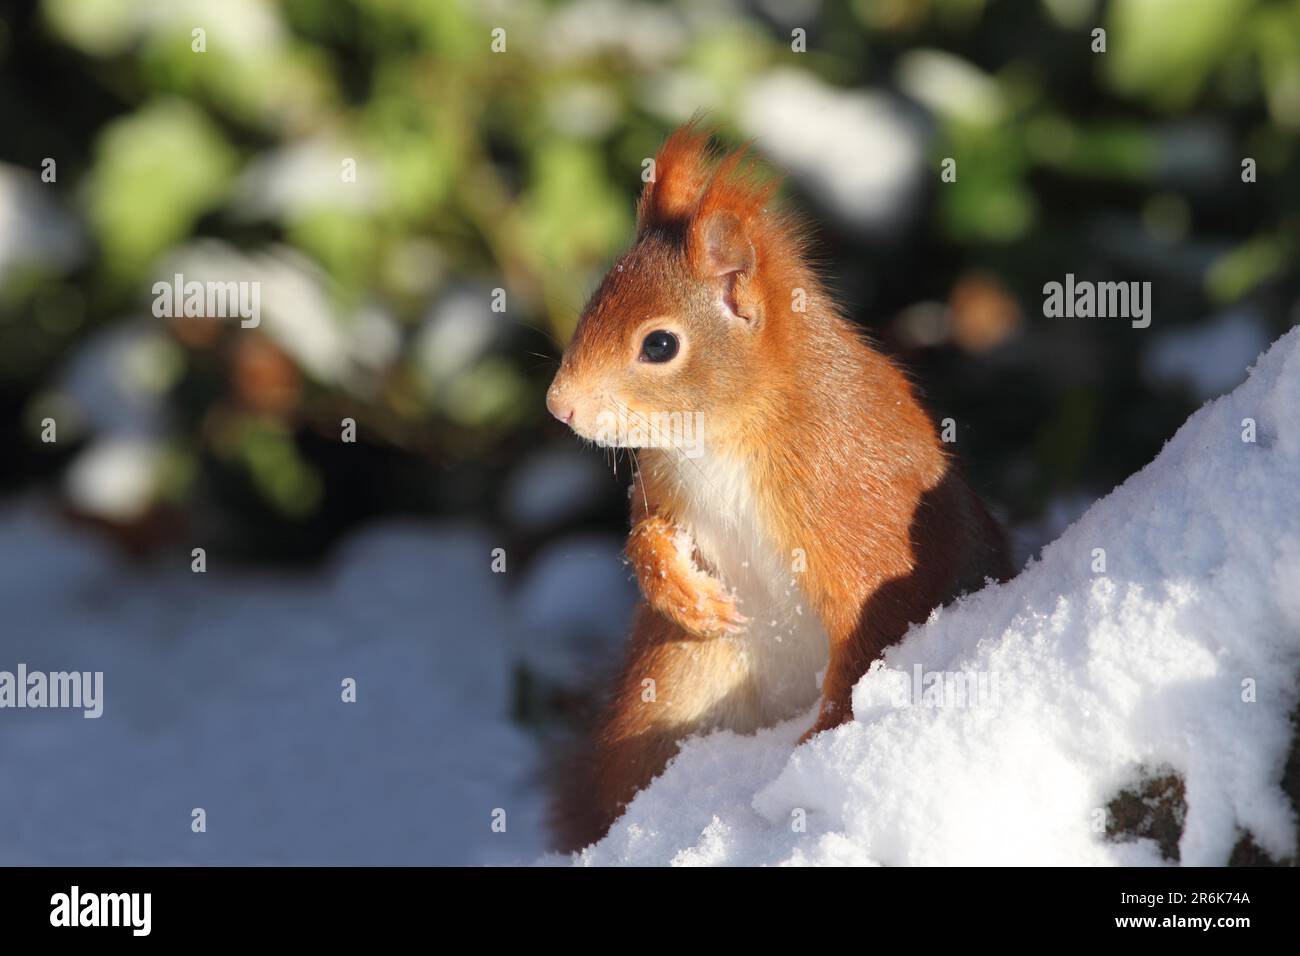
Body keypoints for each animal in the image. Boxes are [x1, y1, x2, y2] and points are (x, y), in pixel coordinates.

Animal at [545, 122, 1013, 852]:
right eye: (591, 304)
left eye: (658, 346)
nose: (558, 406)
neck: (724, 439)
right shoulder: (663, 483)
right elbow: (646, 534)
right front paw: (683, 591)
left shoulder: (854, 509)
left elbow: (872, 631)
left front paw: (818, 748)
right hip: (674, 686)